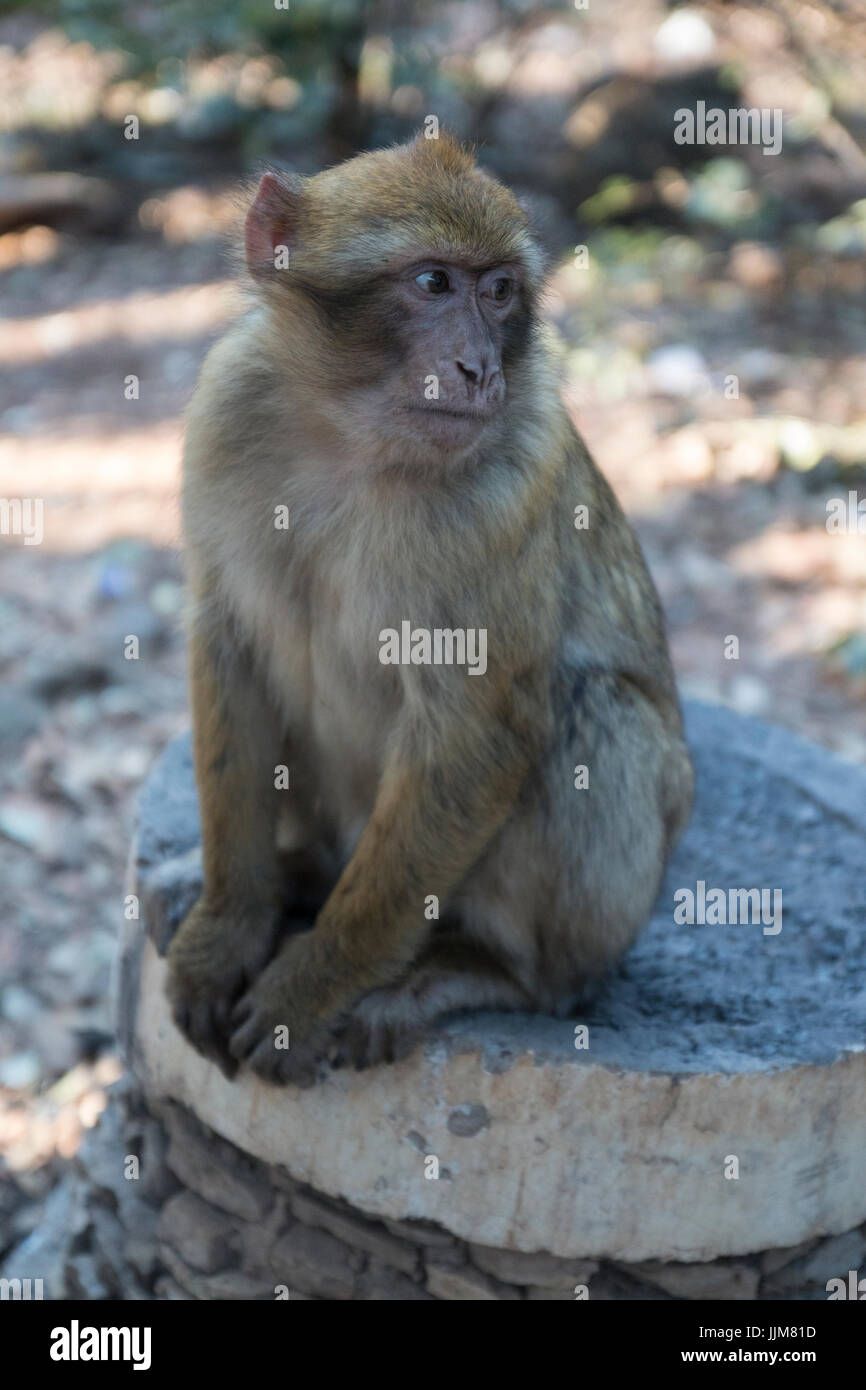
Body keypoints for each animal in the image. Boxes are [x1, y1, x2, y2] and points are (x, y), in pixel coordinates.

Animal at [165, 134, 694, 1087]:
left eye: (501, 291)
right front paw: (227, 927)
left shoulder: (507, 487)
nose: (479, 369)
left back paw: (481, 973)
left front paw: (313, 985)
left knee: (593, 715)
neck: (354, 443)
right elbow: (230, 650)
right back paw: (300, 876)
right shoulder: (226, 412)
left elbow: (478, 730)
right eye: (434, 282)